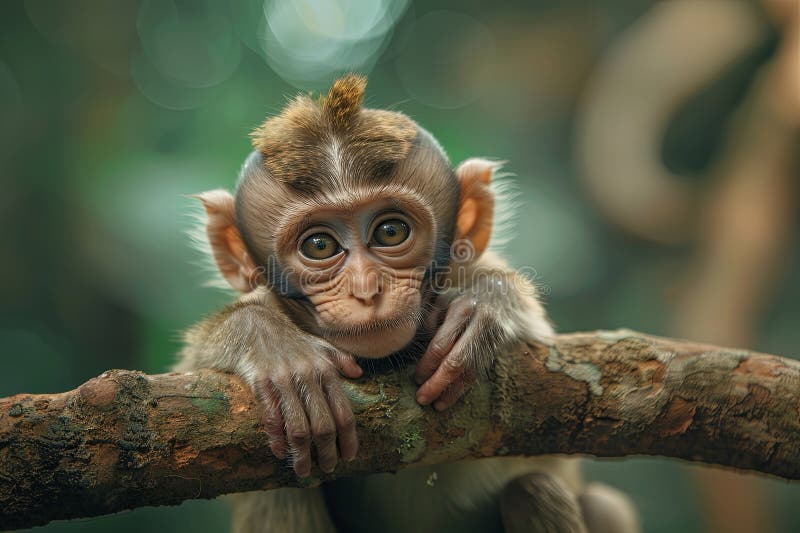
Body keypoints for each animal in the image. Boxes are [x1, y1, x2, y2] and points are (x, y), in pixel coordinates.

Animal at [177, 75, 639, 533]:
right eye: (320, 245)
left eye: (391, 232)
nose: (367, 289)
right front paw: (275, 349)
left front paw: (484, 306)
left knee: (542, 491)